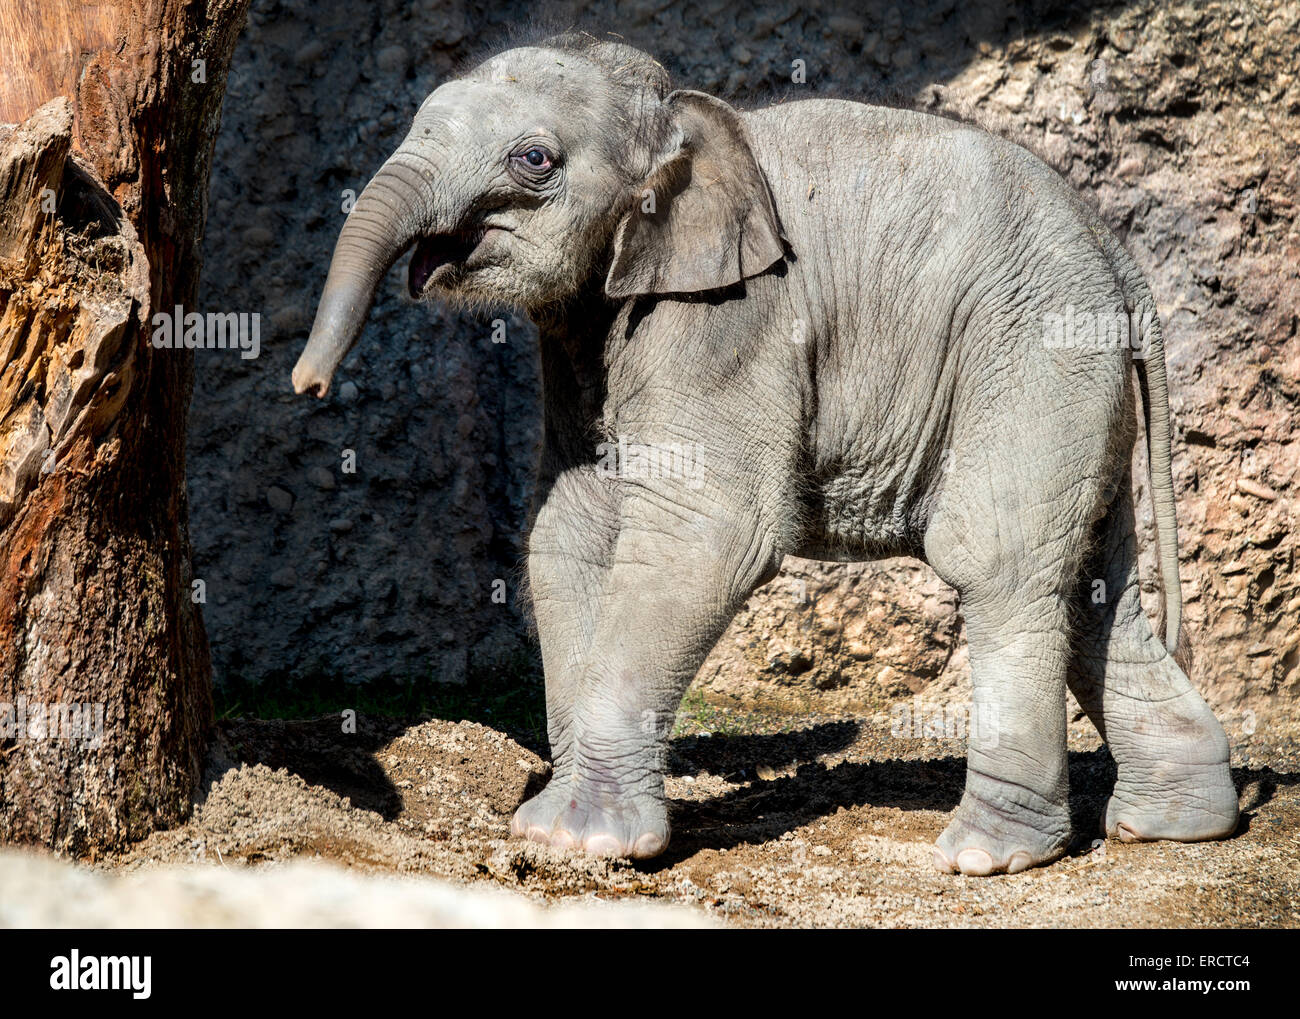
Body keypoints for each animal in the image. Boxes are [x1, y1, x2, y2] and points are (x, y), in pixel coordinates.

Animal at [291, 33, 1239, 875]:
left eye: (534, 160)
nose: (309, 384)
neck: (679, 117)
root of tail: (1118, 255)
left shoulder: (732, 317)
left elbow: (702, 536)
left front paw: (581, 840)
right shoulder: (584, 336)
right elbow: (569, 529)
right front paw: (547, 822)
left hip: (1034, 350)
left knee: (997, 560)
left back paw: (988, 854)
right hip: (1077, 378)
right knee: (1092, 586)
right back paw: (1174, 826)